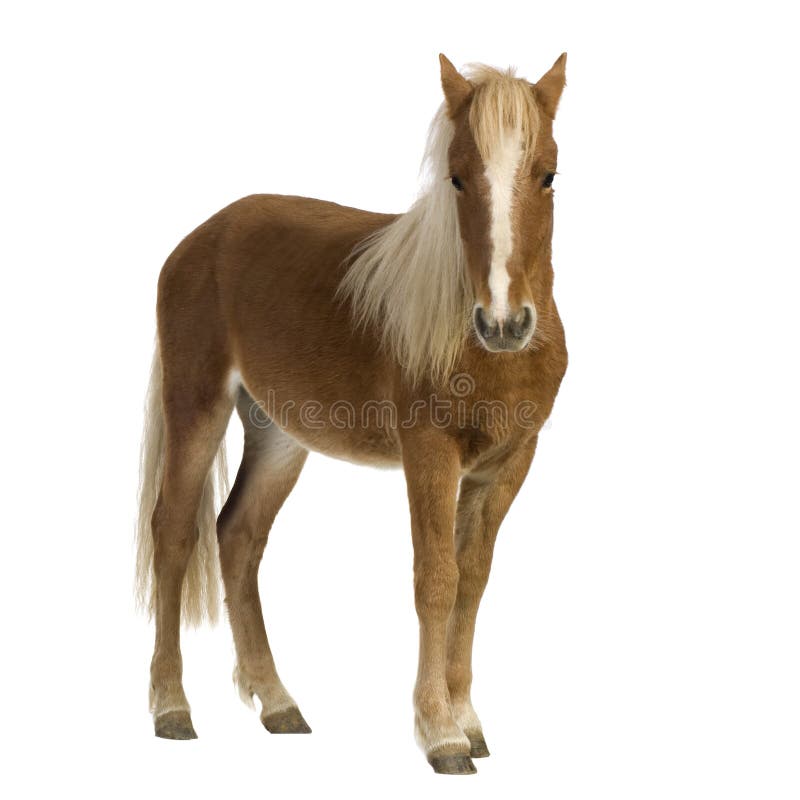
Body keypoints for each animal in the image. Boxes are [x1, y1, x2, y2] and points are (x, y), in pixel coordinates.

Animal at [136, 52, 568, 775]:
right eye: (456, 176)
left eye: (548, 174)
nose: (504, 324)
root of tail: (201, 237)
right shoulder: (429, 454)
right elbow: (437, 579)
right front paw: (441, 735)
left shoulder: (508, 465)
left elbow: (473, 582)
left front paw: (469, 722)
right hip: (197, 404)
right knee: (173, 533)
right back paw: (172, 708)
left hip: (278, 435)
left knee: (238, 535)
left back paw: (279, 704)